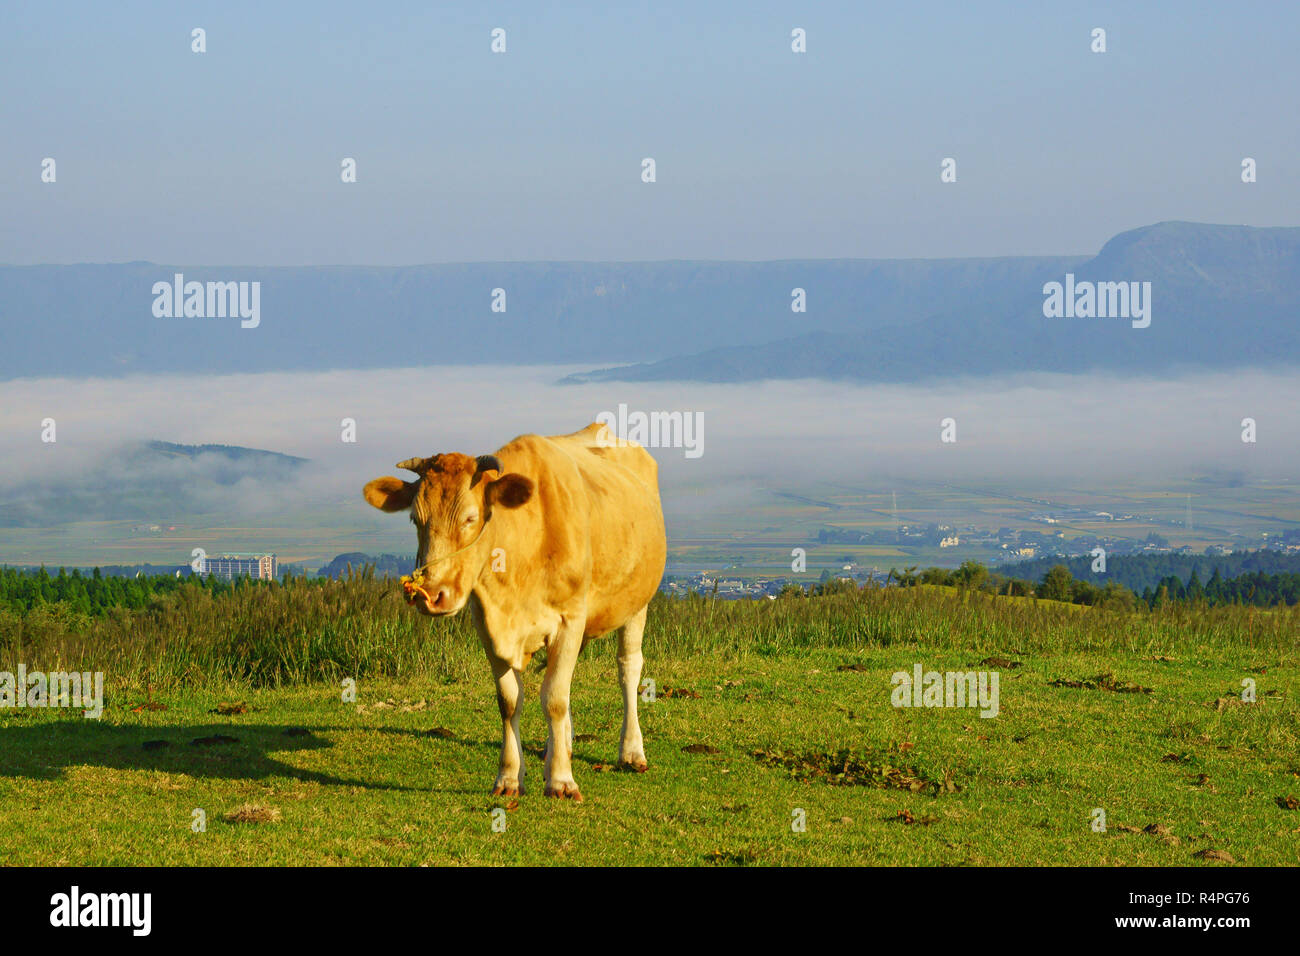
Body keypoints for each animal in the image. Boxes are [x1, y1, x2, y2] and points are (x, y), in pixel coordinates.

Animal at [362, 423, 667, 801]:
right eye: (415, 519)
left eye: (470, 518)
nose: (432, 595)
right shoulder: (486, 622)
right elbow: (510, 700)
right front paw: (510, 776)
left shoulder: (570, 618)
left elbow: (554, 698)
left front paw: (561, 780)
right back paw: (560, 747)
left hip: (637, 601)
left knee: (628, 668)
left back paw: (631, 751)